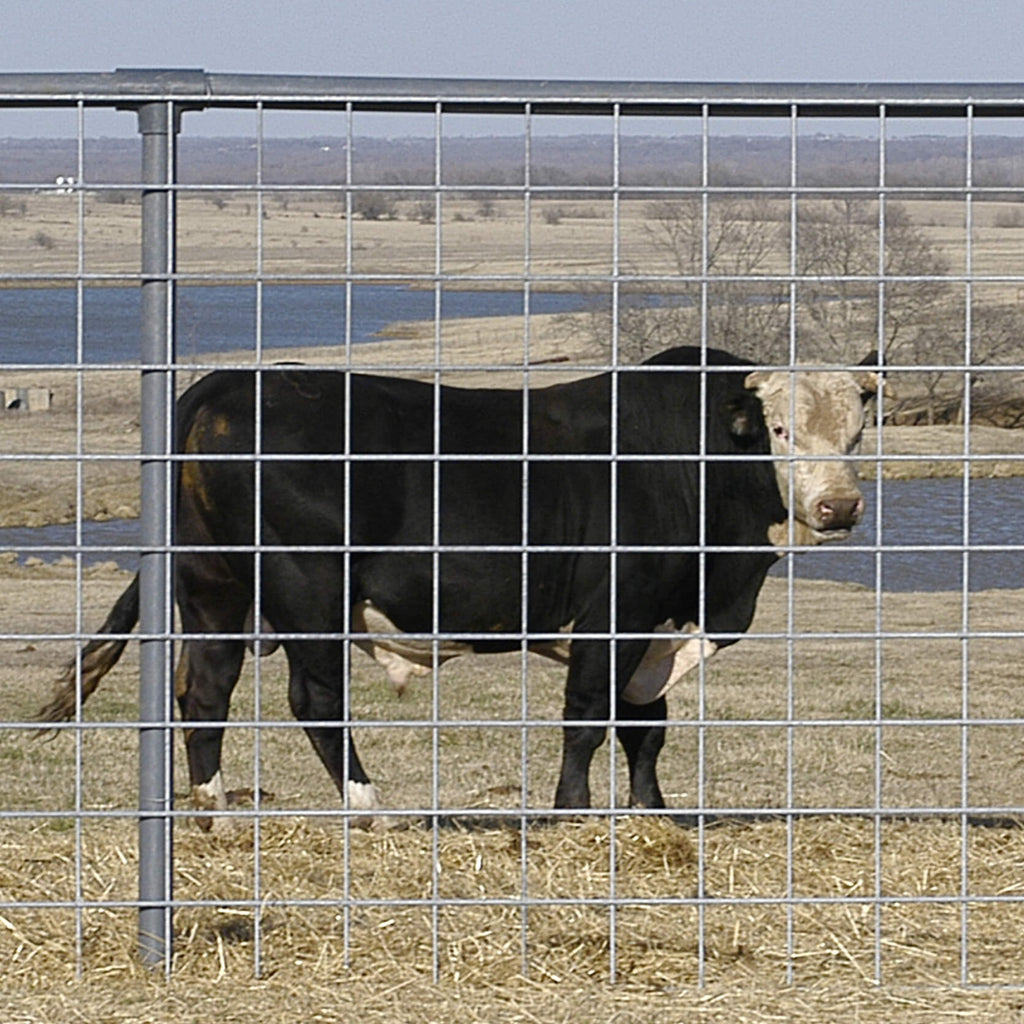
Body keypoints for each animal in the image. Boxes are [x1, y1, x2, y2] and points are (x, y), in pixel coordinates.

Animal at [38, 346, 878, 824]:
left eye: (856, 430)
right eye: (780, 431)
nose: (838, 507)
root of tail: (224, 388)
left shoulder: (655, 627)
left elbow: (647, 728)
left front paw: (653, 815)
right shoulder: (615, 613)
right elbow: (588, 718)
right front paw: (570, 816)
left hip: (213, 586)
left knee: (205, 691)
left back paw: (213, 817)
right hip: (306, 587)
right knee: (315, 698)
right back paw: (368, 809)